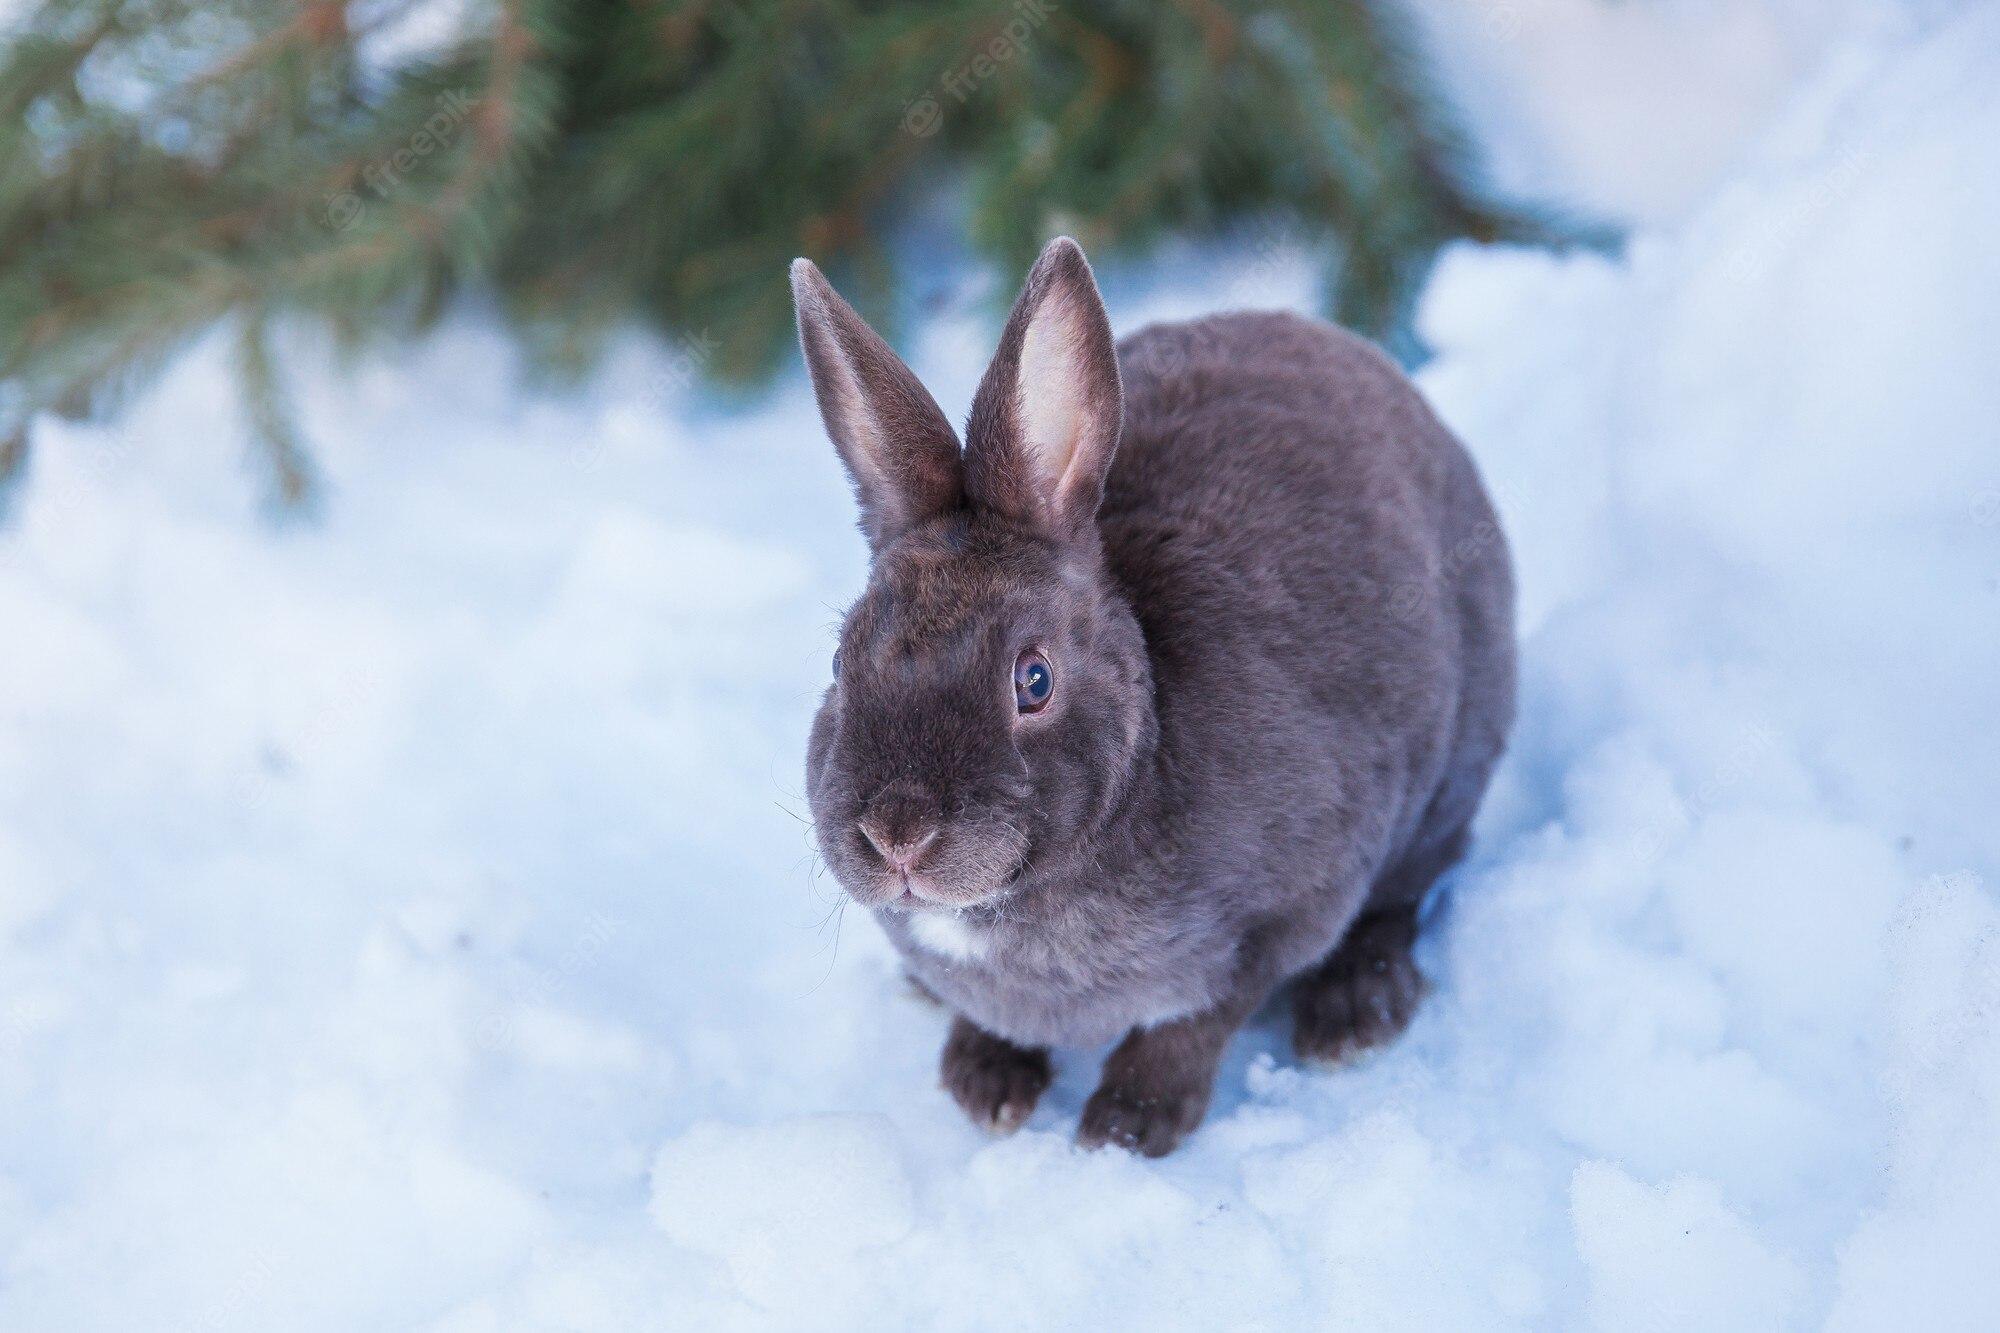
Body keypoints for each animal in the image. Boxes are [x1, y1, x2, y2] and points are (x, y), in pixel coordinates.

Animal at [792, 236, 1514, 1157]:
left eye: (1034, 679)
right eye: (840, 661)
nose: (897, 836)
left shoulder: (1282, 913)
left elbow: (1193, 1025)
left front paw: (1125, 1126)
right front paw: (985, 1089)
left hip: (1448, 778)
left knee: (1406, 894)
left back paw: (1352, 1019)